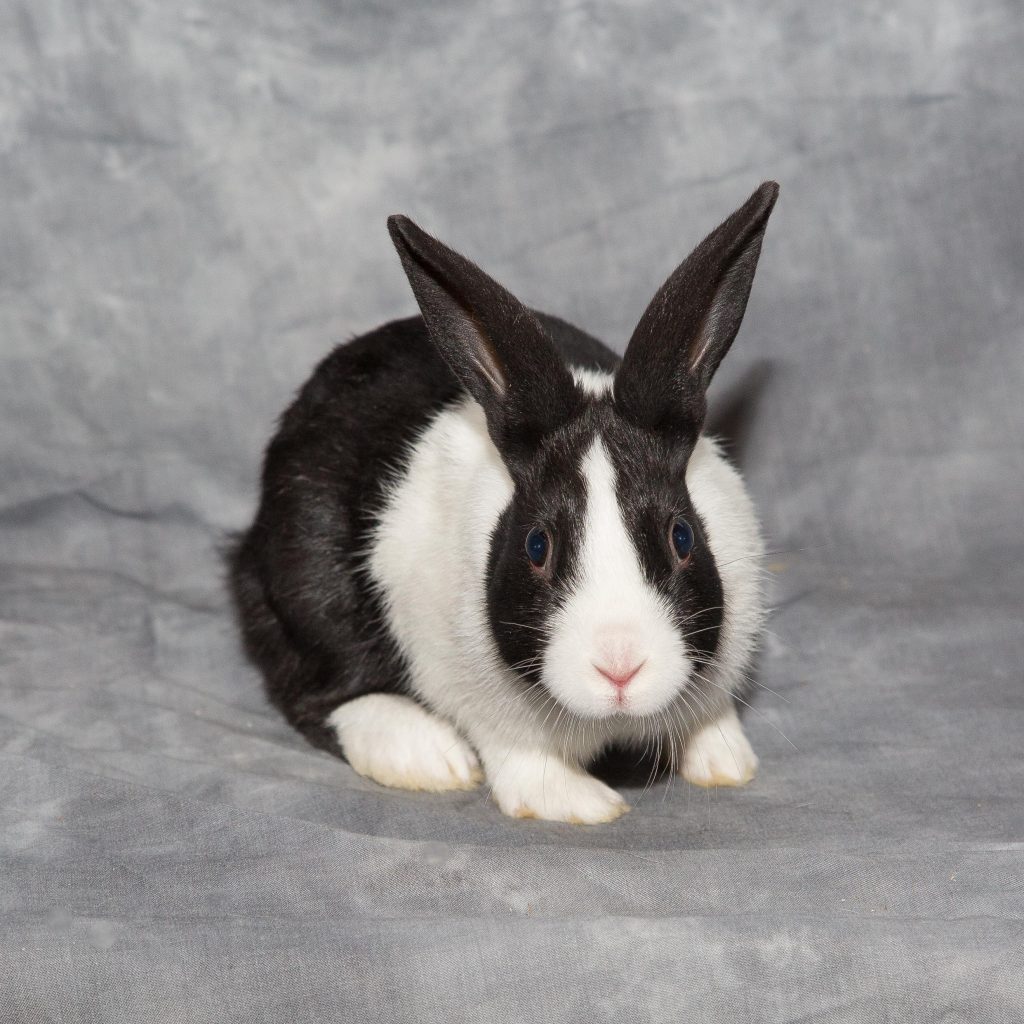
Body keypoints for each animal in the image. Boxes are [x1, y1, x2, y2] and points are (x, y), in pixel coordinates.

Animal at [229, 181, 778, 824]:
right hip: (305, 575)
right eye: (537, 546)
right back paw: (426, 757)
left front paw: (727, 764)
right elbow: (523, 761)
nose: (619, 666)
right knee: (315, 687)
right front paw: (583, 804)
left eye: (682, 536)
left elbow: (711, 719)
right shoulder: (488, 711)